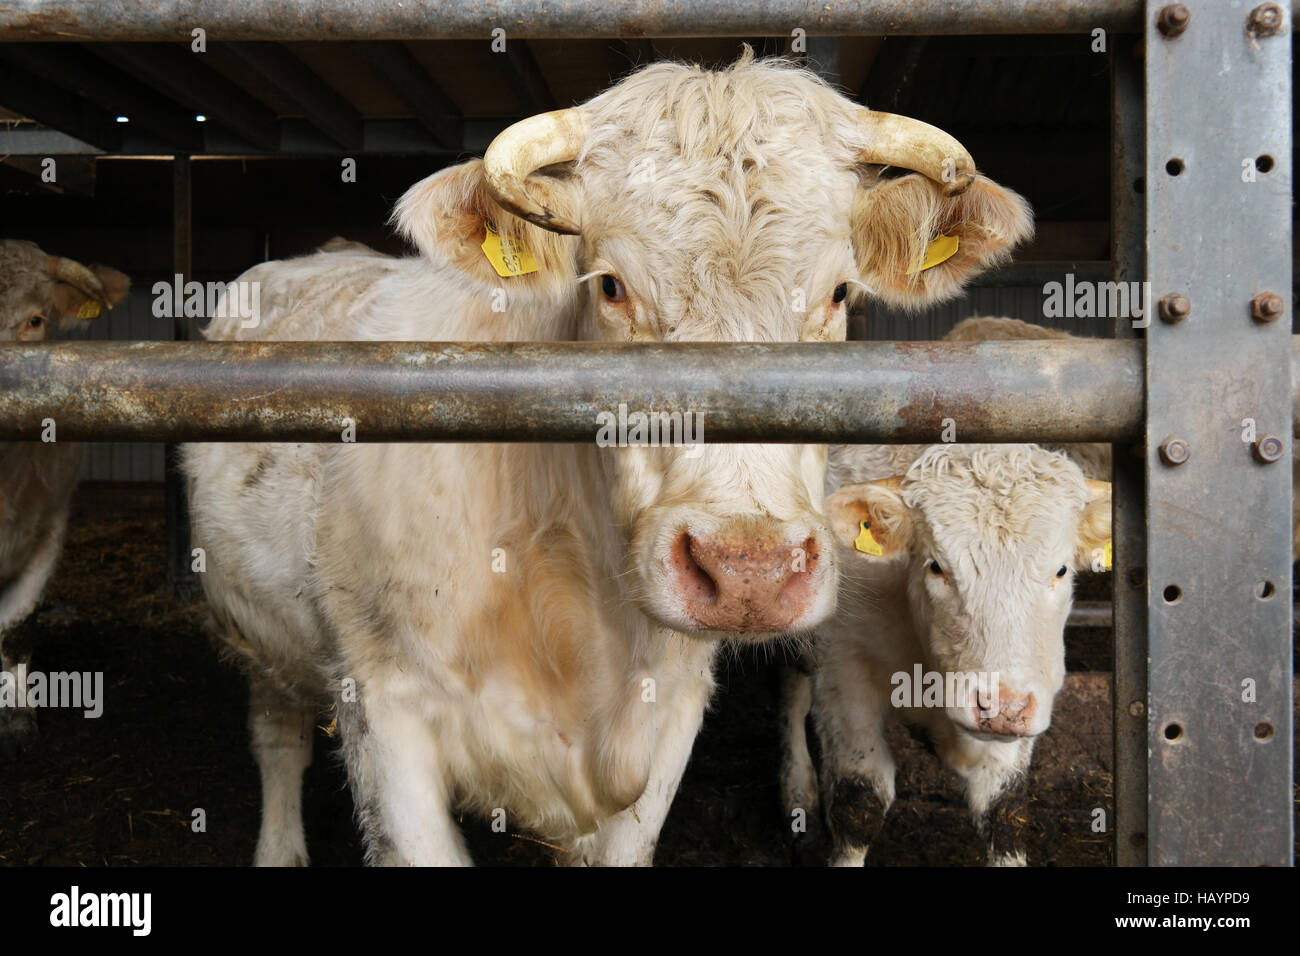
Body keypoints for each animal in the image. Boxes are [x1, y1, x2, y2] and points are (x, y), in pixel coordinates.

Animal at [183, 51, 1033, 866]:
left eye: (838, 293)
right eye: (613, 287)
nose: (749, 570)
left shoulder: (668, 724)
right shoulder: (384, 709)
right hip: (251, 625)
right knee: (278, 737)